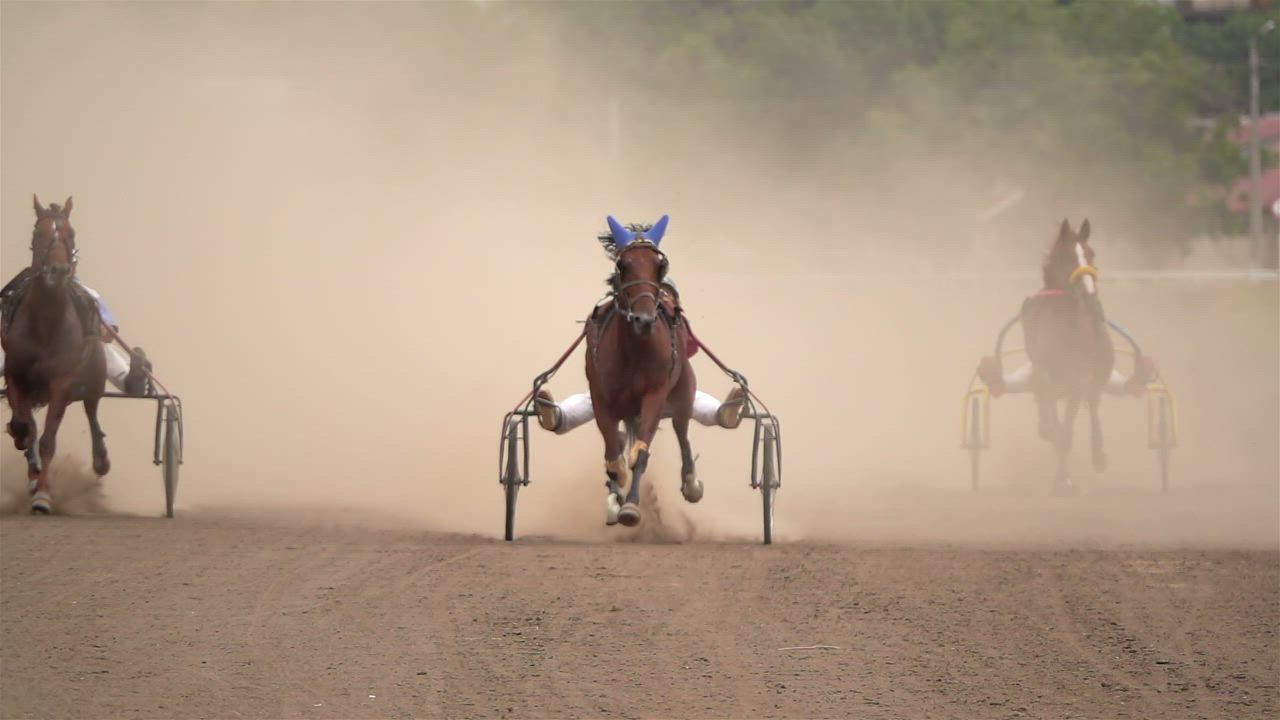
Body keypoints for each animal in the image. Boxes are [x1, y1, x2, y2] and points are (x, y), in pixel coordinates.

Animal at [2, 195, 111, 514]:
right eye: (39, 233)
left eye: (70, 233)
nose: (58, 271)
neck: (46, 321)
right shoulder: (15, 375)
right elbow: (24, 425)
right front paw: (33, 472)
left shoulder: (61, 382)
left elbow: (48, 439)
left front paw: (43, 494)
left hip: (94, 377)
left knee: (92, 411)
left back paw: (100, 459)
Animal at [585, 215, 700, 527]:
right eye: (623, 265)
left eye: (660, 266)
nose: (644, 319)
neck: (633, 351)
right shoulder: (601, 397)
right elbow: (614, 458)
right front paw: (616, 498)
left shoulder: (655, 395)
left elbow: (640, 453)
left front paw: (631, 506)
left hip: (683, 391)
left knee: (682, 431)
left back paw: (691, 483)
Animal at [1021, 218, 1114, 494]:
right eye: (1068, 256)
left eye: (1091, 253)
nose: (1090, 293)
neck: (1067, 327)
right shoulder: (1045, 371)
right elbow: (1053, 420)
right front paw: (1063, 479)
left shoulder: (1078, 378)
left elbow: (1068, 430)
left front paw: (1064, 480)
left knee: (1093, 401)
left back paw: (1098, 453)